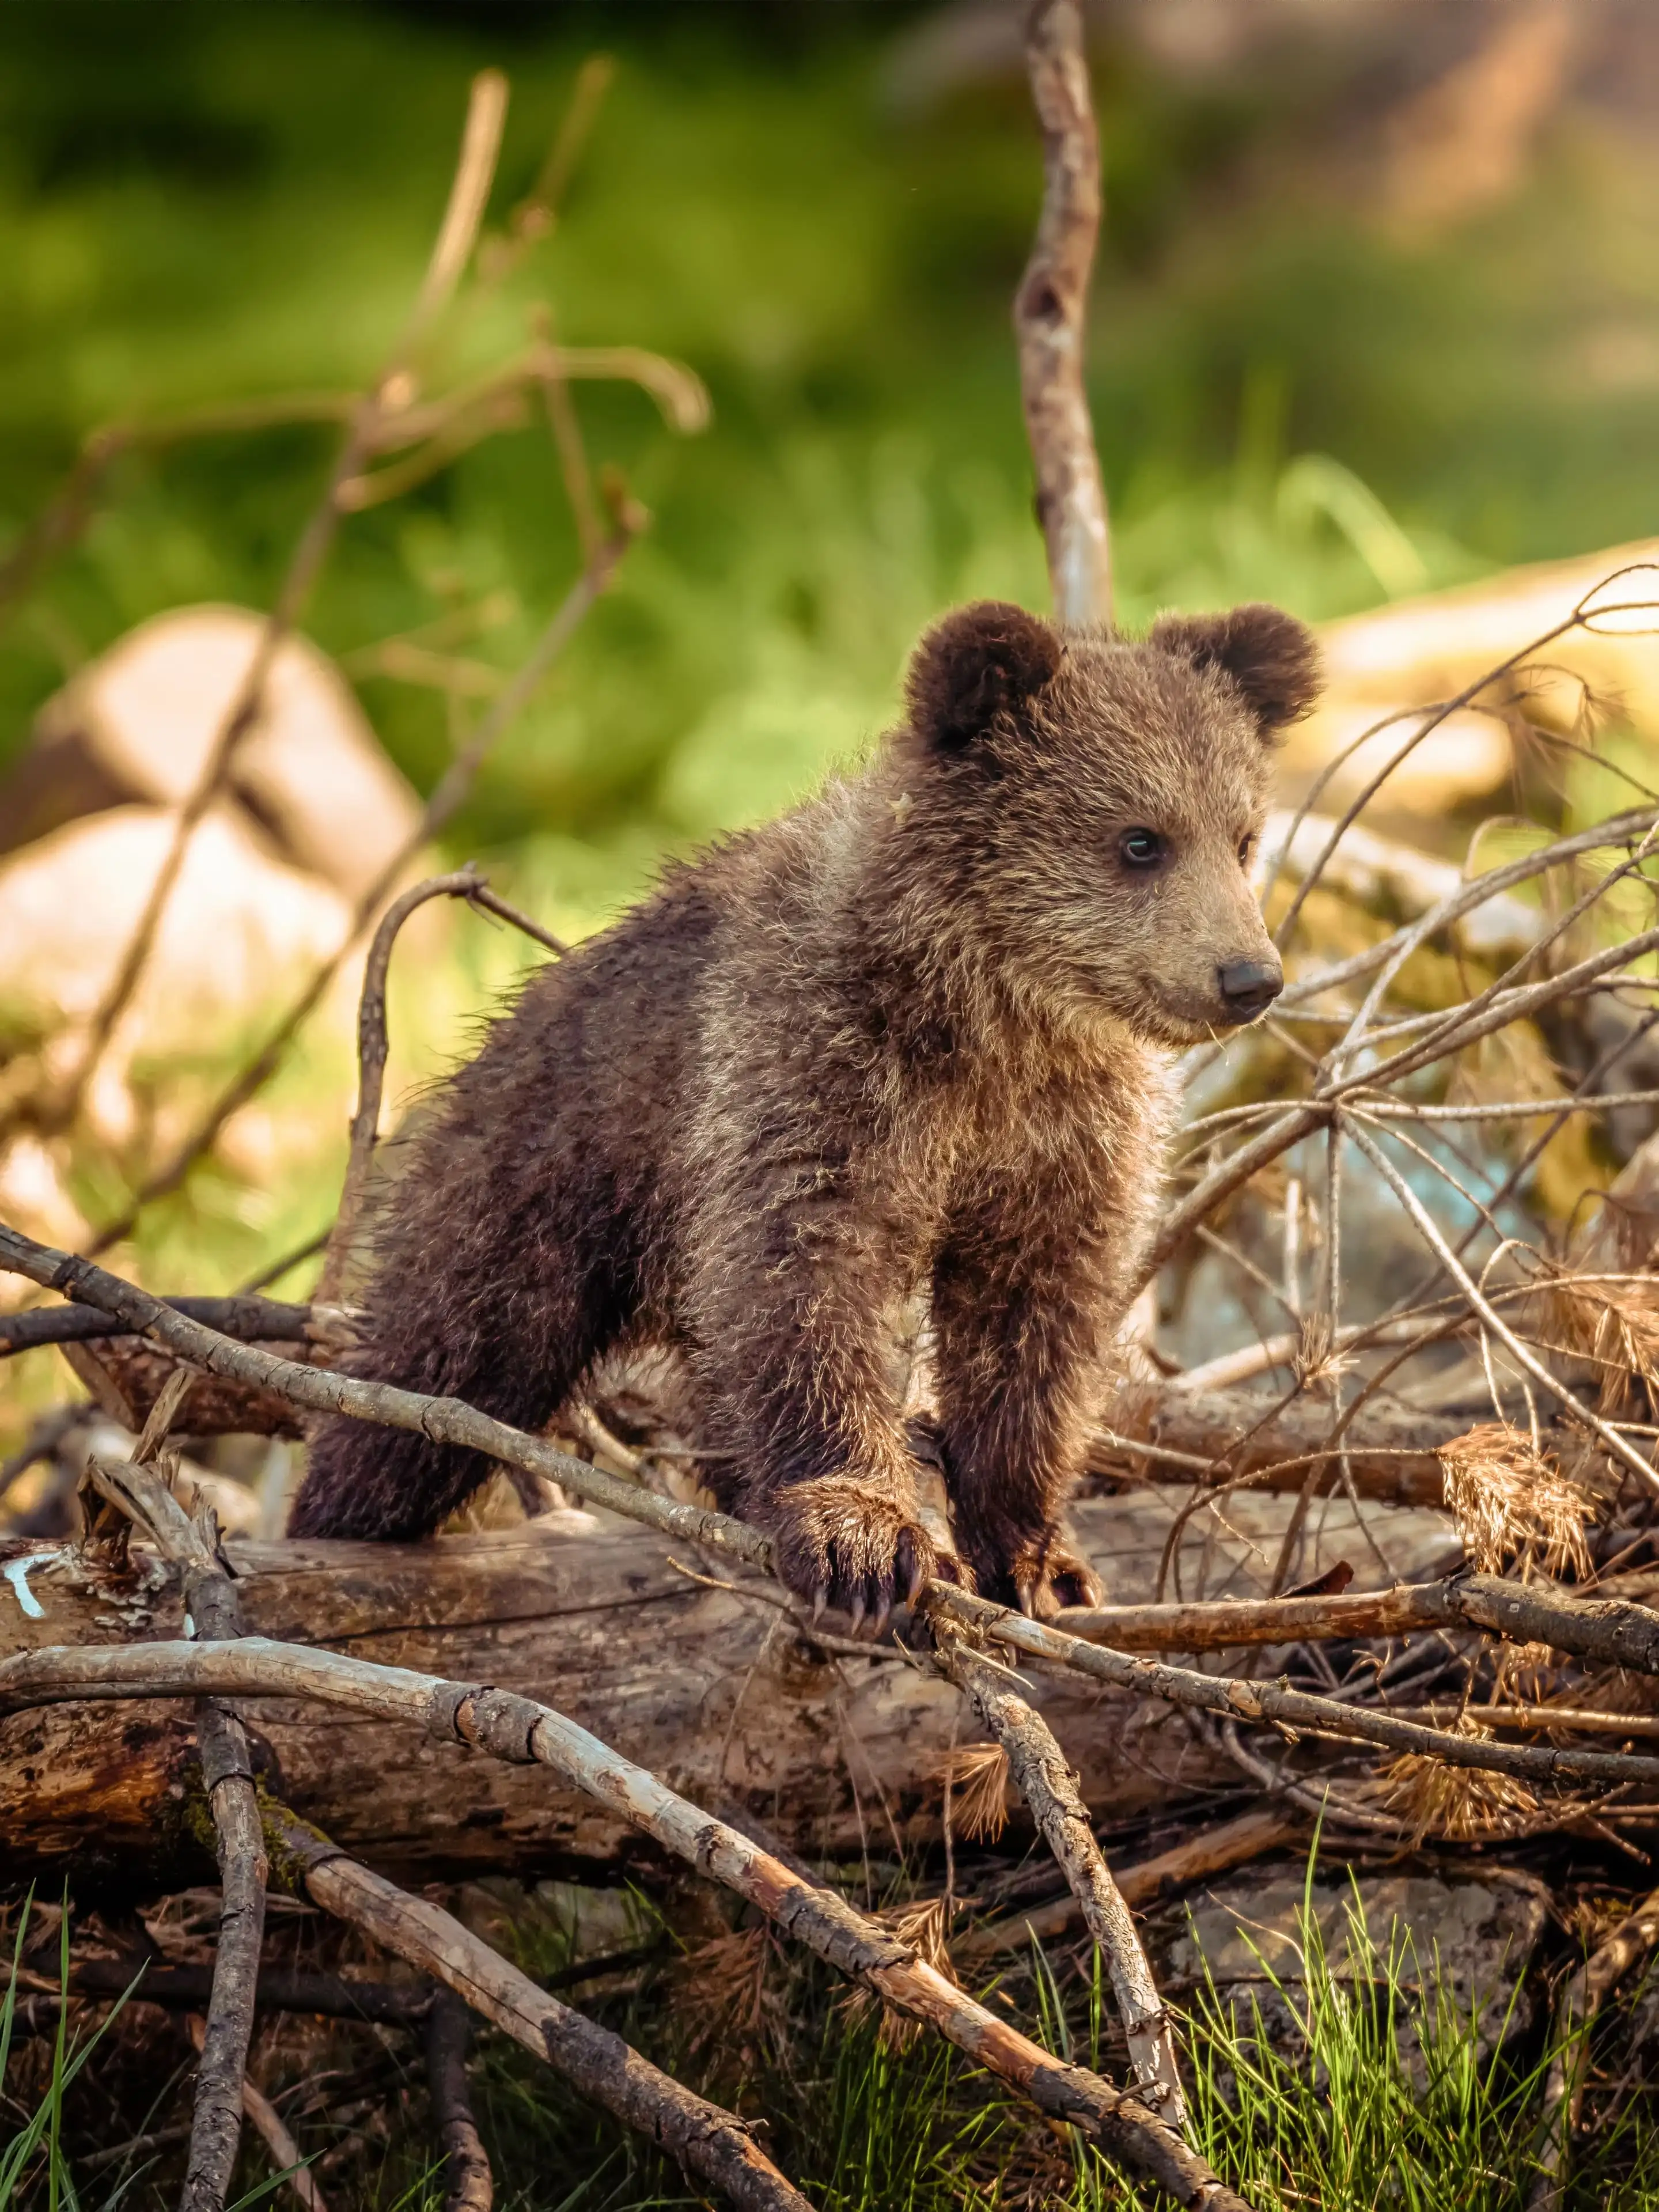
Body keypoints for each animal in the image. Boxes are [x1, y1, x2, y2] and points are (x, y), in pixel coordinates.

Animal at [289, 598, 1319, 1622]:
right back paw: (337, 1518)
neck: (991, 1020)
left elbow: (1035, 1324)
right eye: (1140, 839)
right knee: (432, 1372)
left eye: (1242, 835)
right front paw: (862, 1536)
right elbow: (806, 1282)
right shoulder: (814, 1072)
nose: (1249, 977)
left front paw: (1039, 1557)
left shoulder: (1063, 1137)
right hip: (533, 1185)